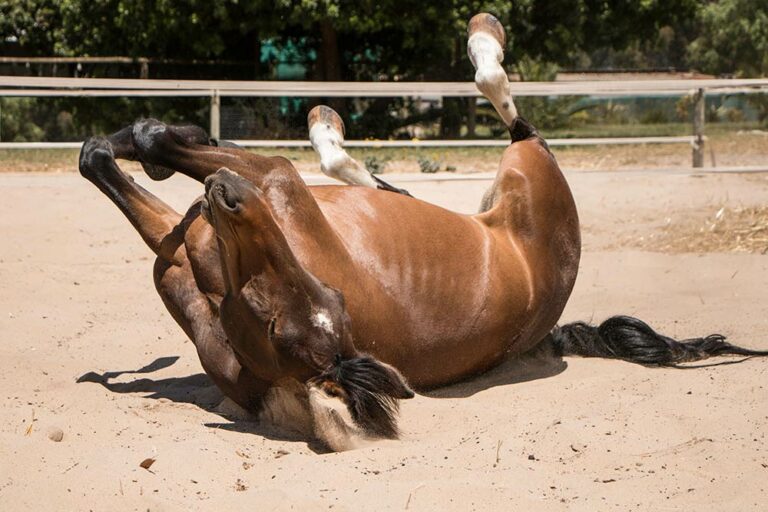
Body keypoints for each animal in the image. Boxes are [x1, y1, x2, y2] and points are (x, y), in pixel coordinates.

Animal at [79, 13, 768, 450]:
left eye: (321, 296)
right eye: (273, 313)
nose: (228, 197)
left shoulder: (267, 183)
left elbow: (140, 149)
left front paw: (148, 138)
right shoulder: (179, 248)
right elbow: (105, 164)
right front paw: (137, 142)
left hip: (527, 171)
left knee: (504, 108)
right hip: (517, 177)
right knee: (442, 147)